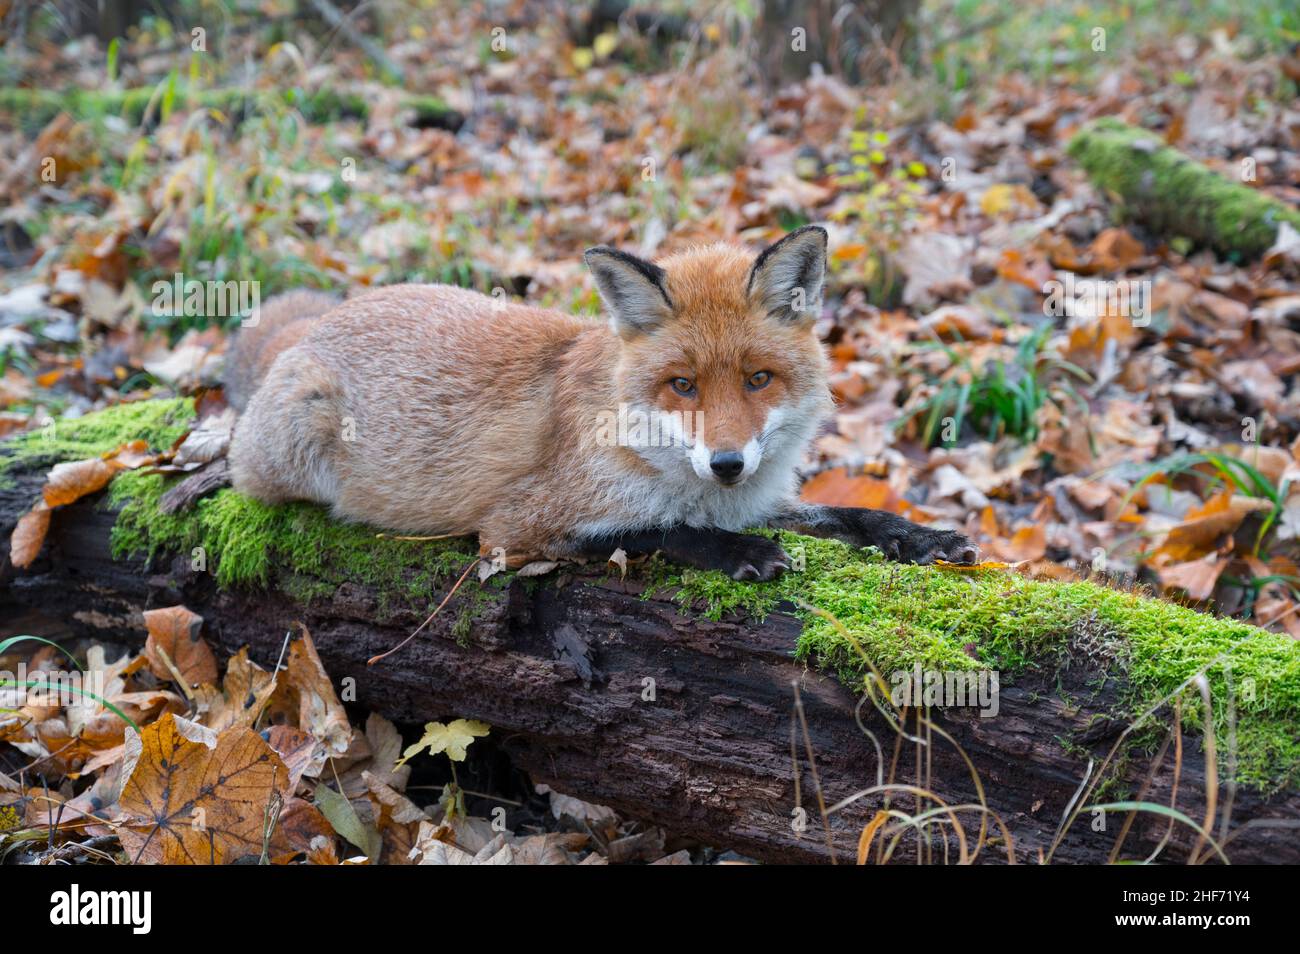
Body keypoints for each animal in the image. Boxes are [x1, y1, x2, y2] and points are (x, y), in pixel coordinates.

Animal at [225, 226, 978, 580]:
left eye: (758, 379)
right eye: (683, 385)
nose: (727, 464)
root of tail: (320, 322)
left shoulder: (752, 499)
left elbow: (846, 515)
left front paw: (924, 537)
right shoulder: (512, 529)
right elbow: (657, 531)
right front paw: (737, 552)